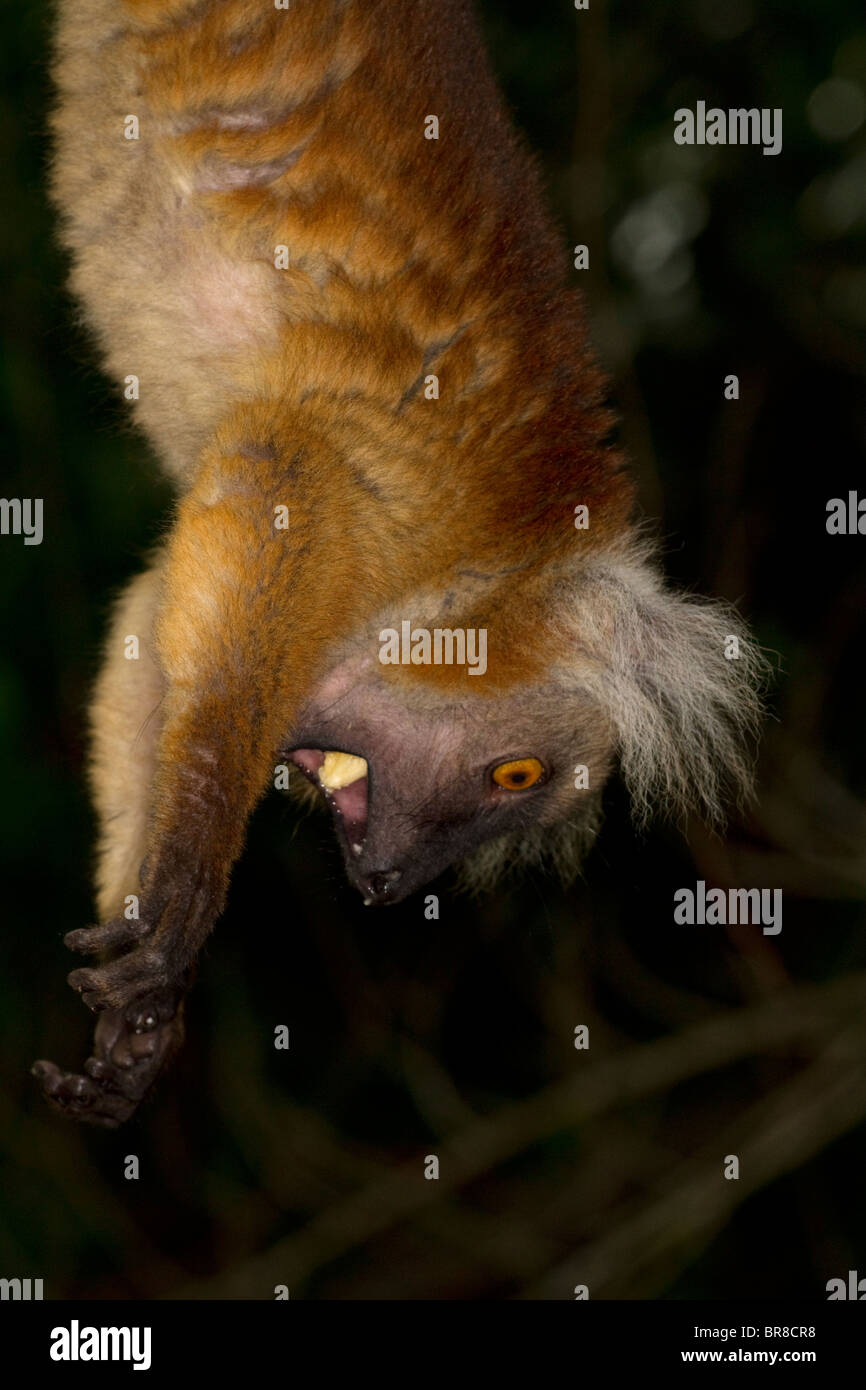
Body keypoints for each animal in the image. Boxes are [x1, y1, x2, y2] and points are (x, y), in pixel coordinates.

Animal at [33, 0, 766, 1127]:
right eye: (515, 773)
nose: (389, 886)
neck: (460, 564)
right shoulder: (401, 480)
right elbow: (273, 471)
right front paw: (191, 880)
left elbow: (150, 634)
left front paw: (141, 1023)